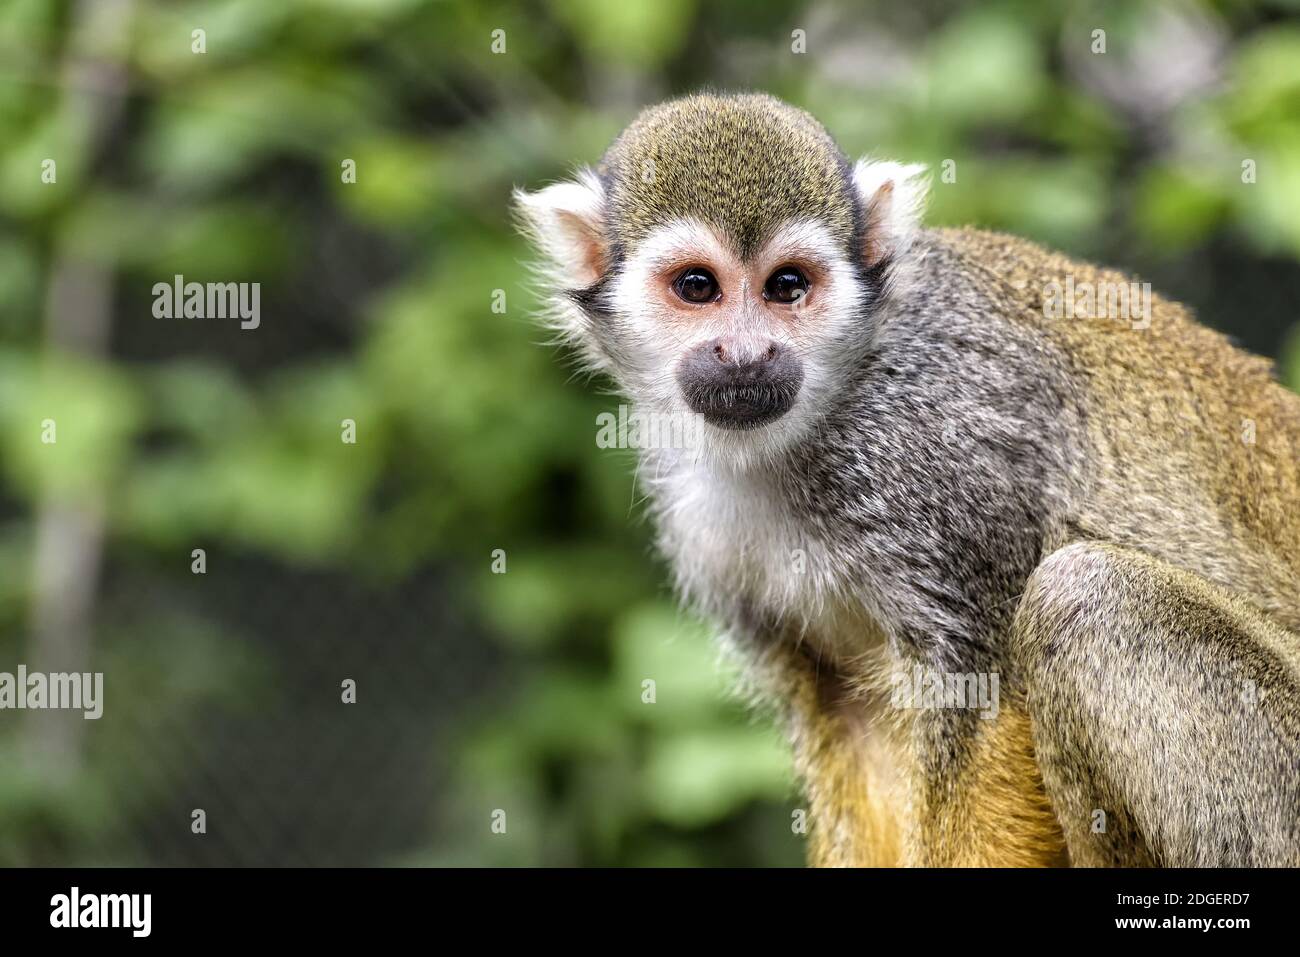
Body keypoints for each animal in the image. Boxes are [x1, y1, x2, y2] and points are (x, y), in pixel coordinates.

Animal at [514, 92, 1300, 867]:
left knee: (1090, 595)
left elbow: (980, 696)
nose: (747, 354)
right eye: (697, 287)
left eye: (788, 286)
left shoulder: (937, 450)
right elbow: (848, 717)